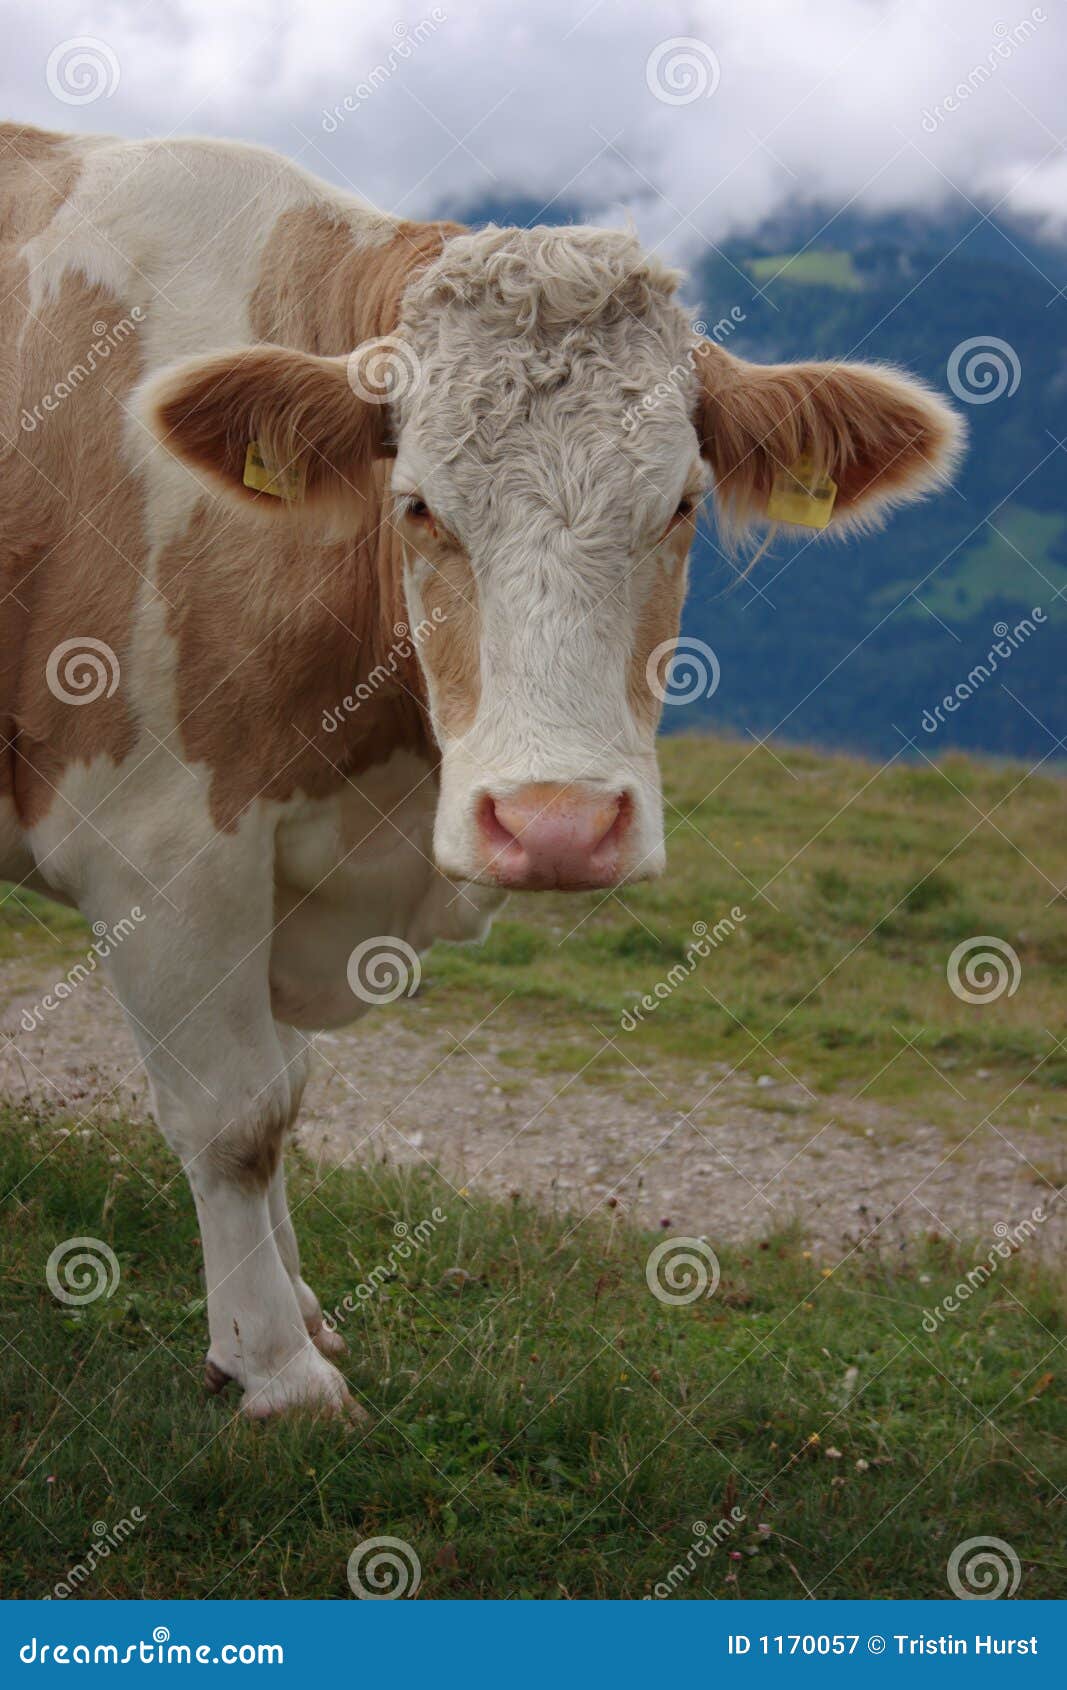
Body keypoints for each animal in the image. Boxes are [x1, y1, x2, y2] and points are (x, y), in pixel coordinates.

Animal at [0, 123, 962, 1416]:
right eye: (416, 505)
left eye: (681, 503)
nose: (555, 824)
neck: (375, 812)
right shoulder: (159, 849)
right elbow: (235, 1115)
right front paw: (279, 1370)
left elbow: (288, 1088)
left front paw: (302, 1309)